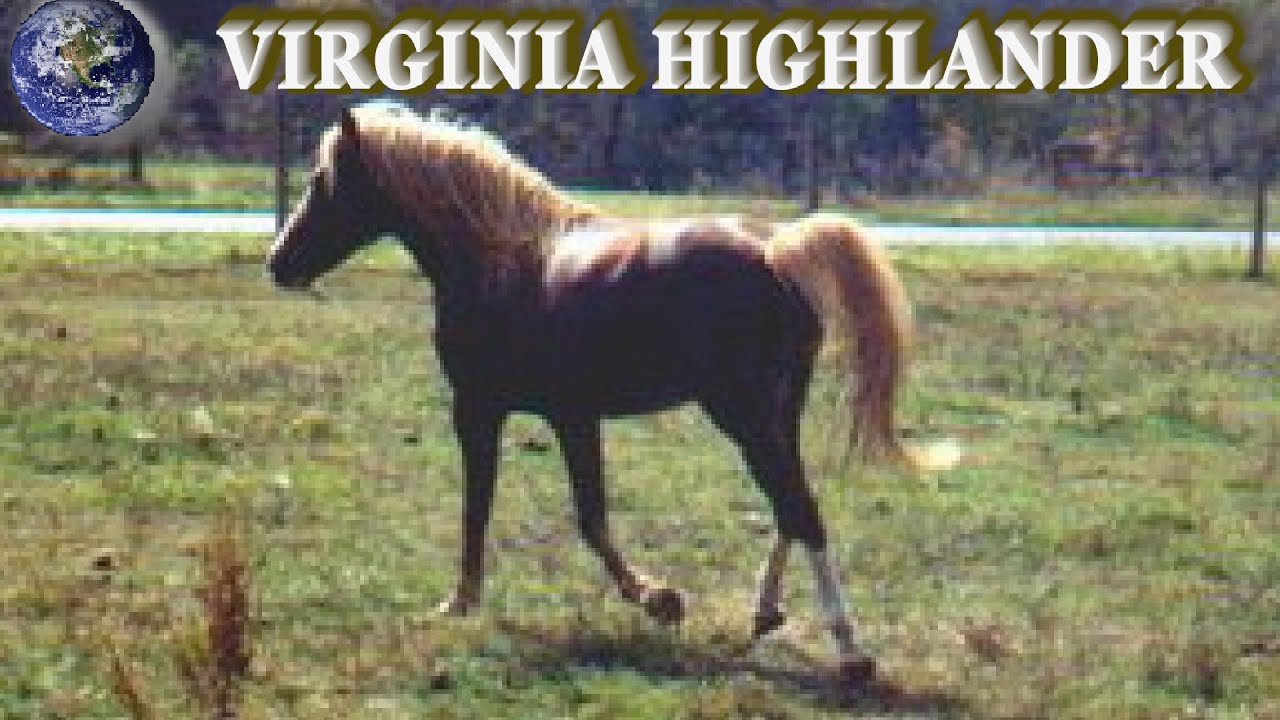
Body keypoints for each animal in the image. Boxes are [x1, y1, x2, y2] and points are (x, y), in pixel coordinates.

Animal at [267, 104, 918, 680]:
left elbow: (507, 510)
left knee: (799, 508)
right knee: (790, 505)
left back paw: (851, 653)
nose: (279, 262)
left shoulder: (487, 411)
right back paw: (766, 615)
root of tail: (776, 251)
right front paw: (658, 598)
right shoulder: (573, 418)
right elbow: (585, 515)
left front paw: (466, 602)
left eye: (324, 181)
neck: (501, 259)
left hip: (744, 416)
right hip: (778, 416)